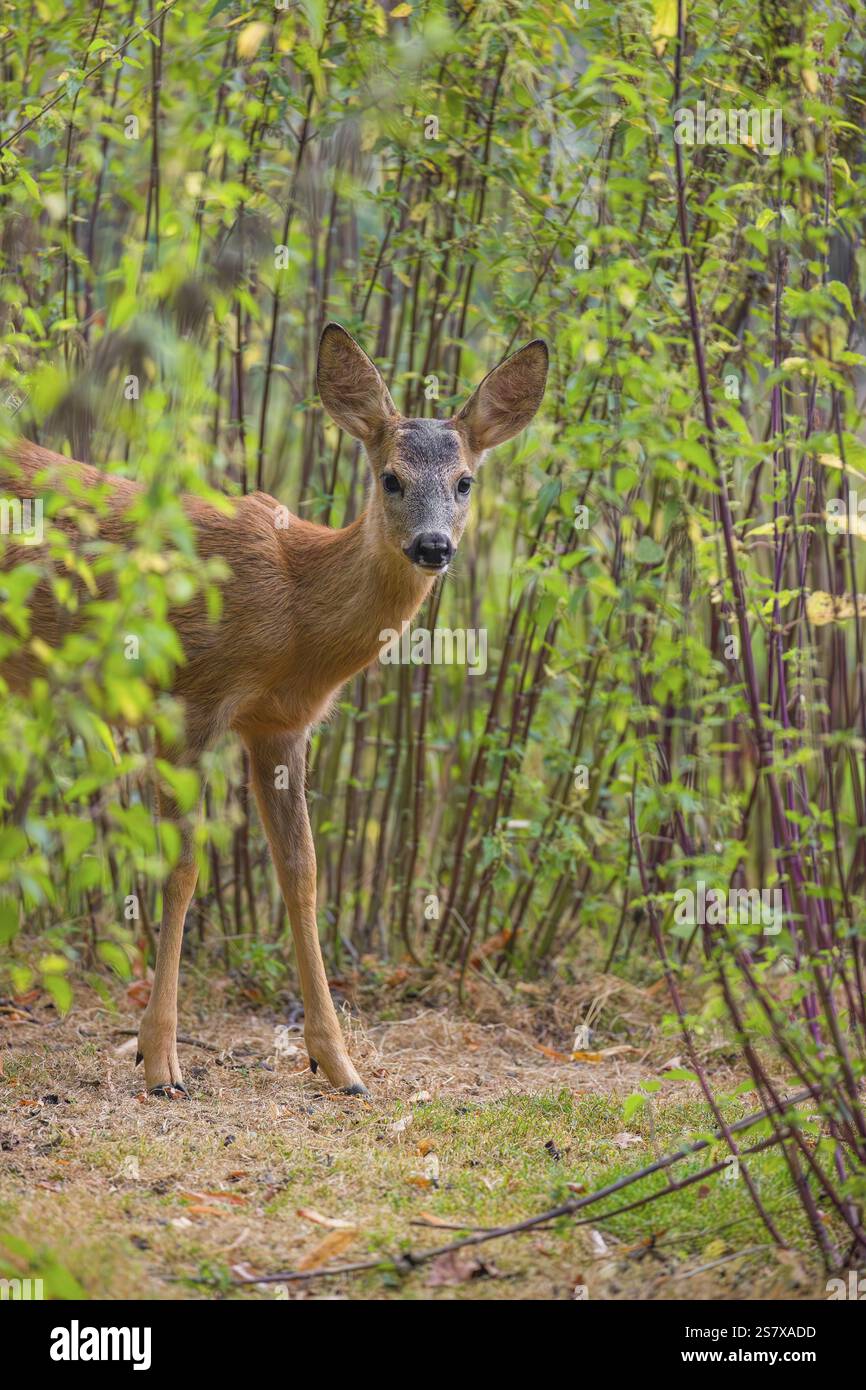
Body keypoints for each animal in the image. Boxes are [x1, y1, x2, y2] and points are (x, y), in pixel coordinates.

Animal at [0, 324, 548, 1097]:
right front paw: (159, 1061)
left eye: (465, 480)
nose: (433, 545)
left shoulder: (282, 727)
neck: (295, 607)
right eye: (391, 478)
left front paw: (339, 1065)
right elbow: (182, 870)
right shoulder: (188, 699)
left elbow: (303, 874)